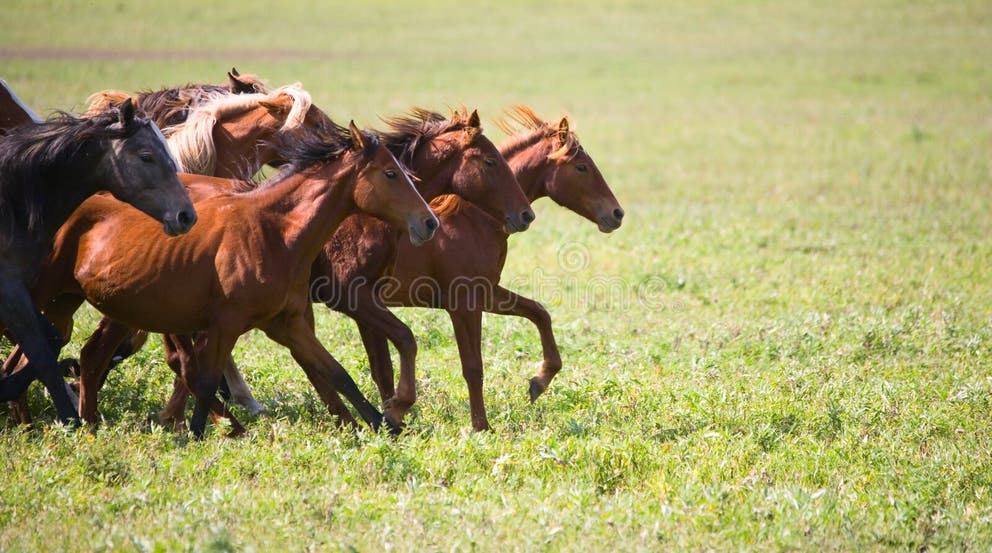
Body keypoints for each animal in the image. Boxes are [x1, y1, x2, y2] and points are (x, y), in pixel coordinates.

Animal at [0, 100, 197, 424]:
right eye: (146, 156)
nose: (187, 216)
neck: (12, 202)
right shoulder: (11, 291)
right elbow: (42, 352)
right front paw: (70, 418)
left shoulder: (19, 293)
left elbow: (52, 339)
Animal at [29, 120, 437, 437]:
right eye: (390, 173)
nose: (429, 222)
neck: (274, 232)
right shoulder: (227, 325)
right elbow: (207, 380)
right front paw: (197, 436)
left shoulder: (288, 324)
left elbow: (338, 374)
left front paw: (387, 425)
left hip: (79, 304)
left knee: (76, 354)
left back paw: (87, 424)